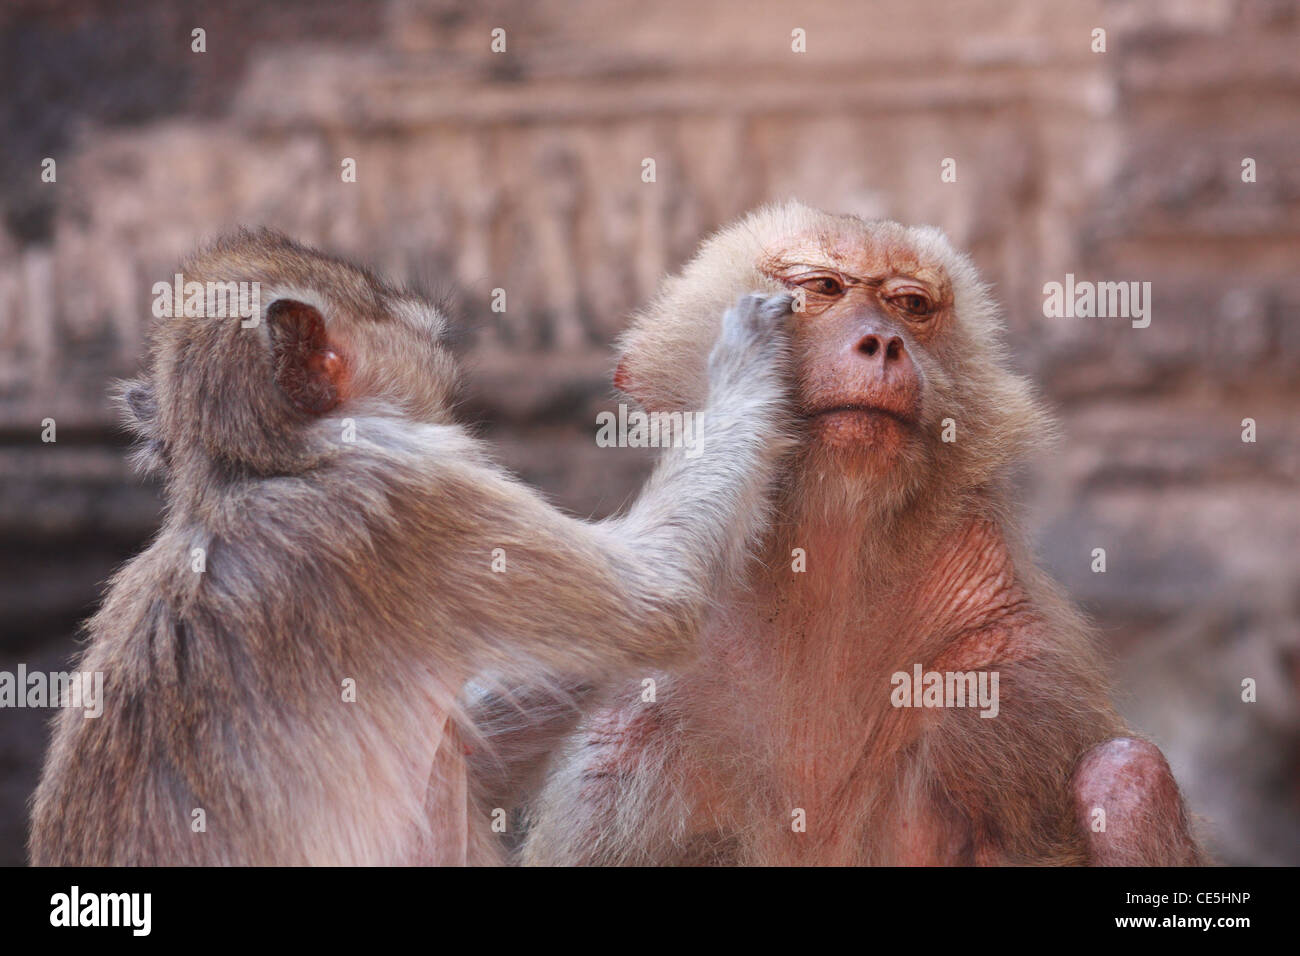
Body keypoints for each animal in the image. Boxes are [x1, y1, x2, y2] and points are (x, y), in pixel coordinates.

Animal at [519, 201, 1206, 866]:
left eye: (911, 305)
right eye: (823, 288)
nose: (882, 342)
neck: (825, 555)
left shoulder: (999, 662)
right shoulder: (629, 735)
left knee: (1127, 779)